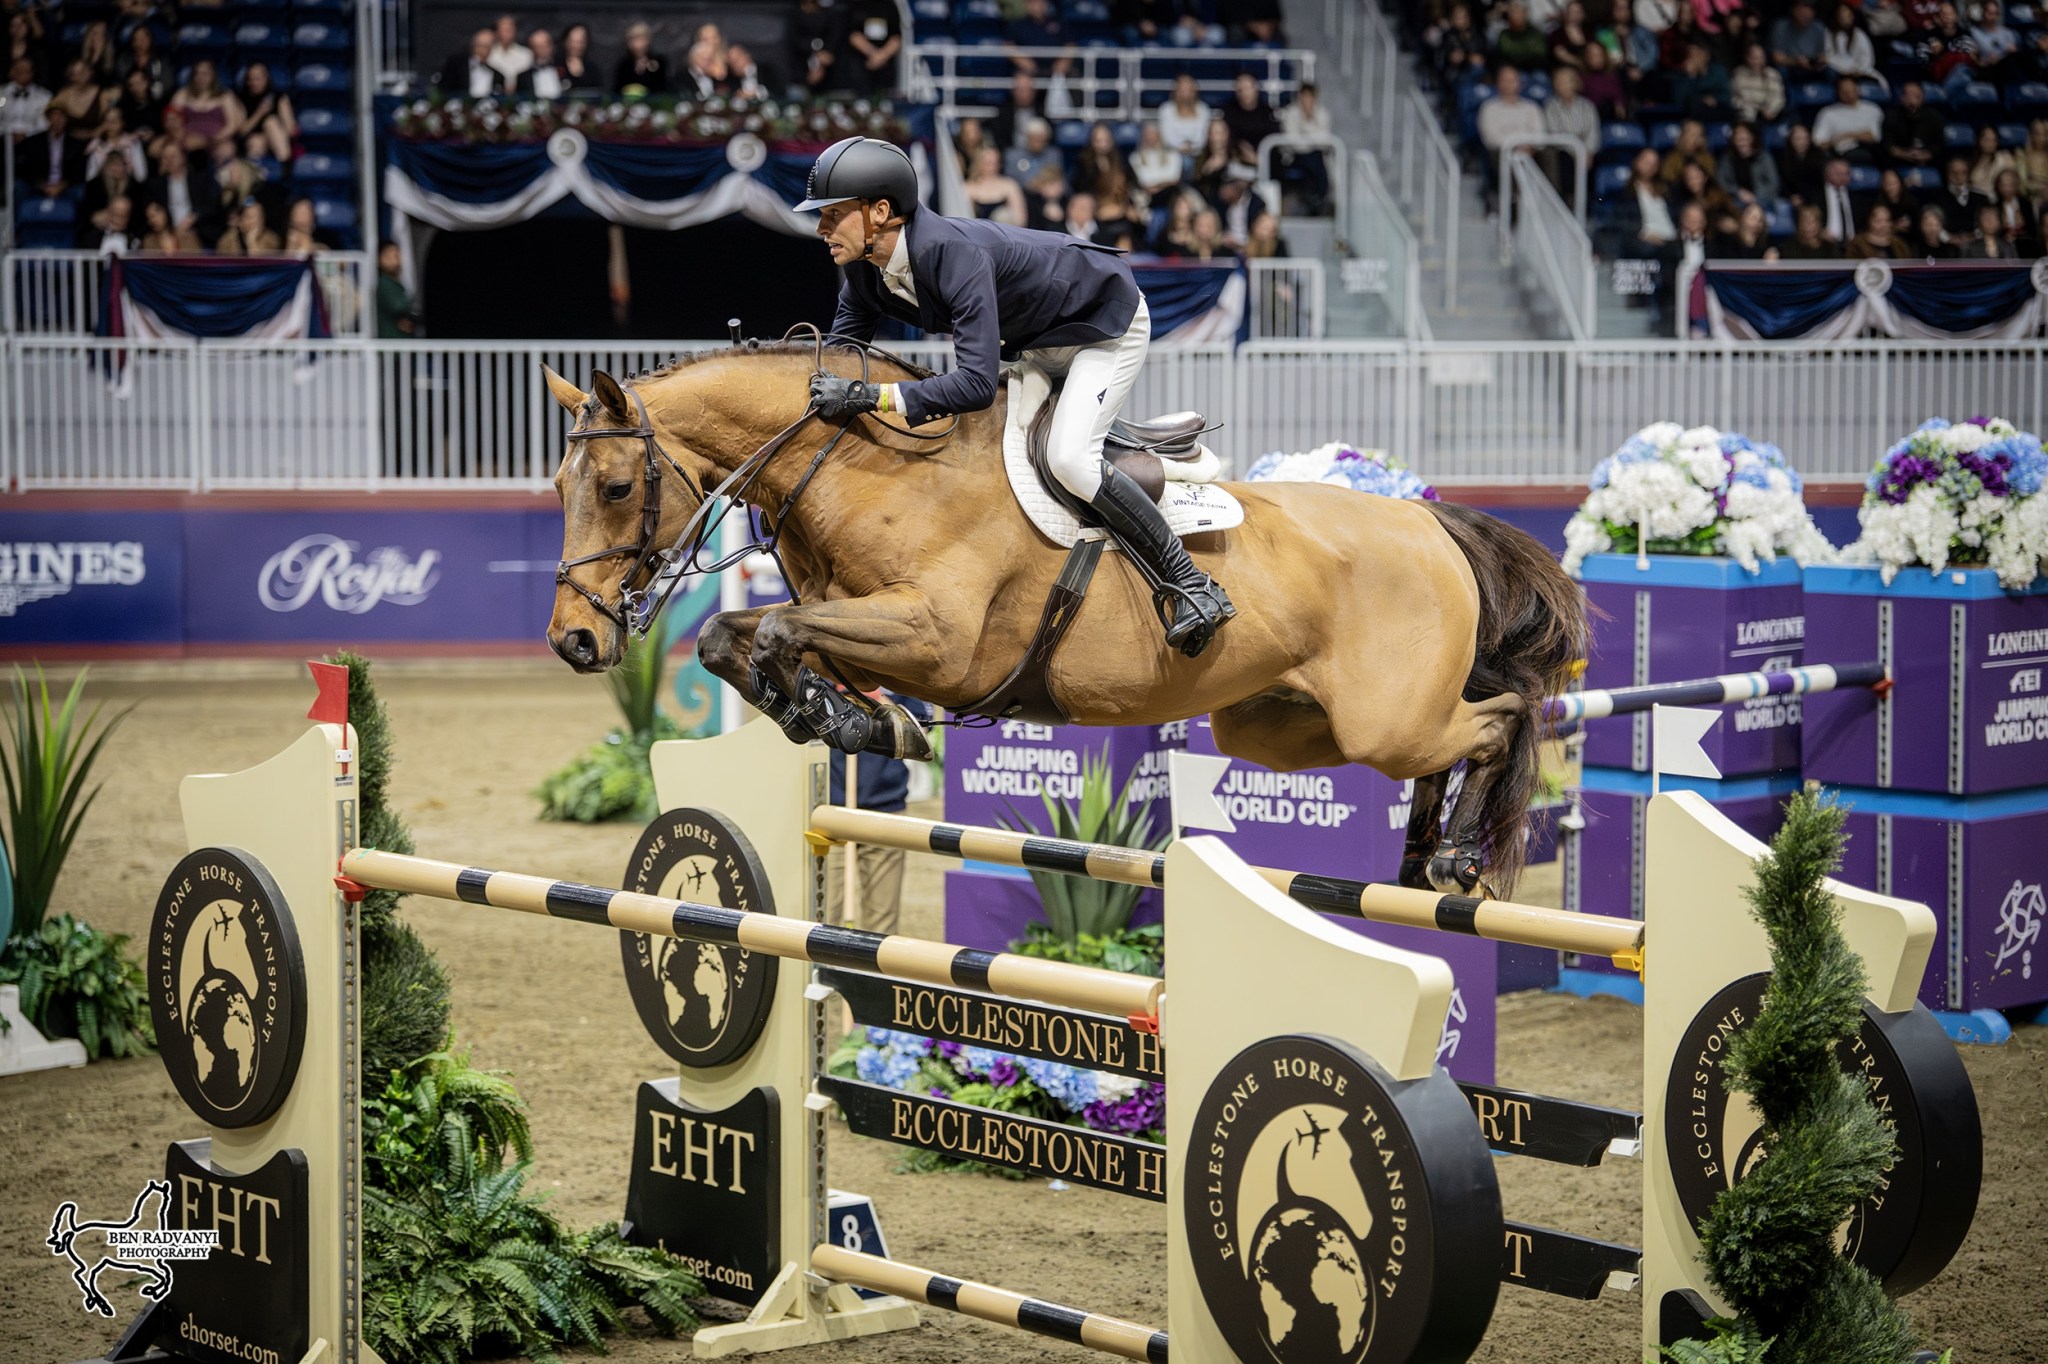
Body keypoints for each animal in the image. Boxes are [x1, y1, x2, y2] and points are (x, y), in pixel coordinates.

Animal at [541, 344, 1585, 896]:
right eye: (557, 485)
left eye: (619, 486)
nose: (574, 641)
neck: (868, 470)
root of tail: (1429, 519)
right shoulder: (860, 622)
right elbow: (743, 638)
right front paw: (849, 719)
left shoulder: (935, 639)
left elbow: (783, 634)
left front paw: (847, 717)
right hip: (1283, 725)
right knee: (1462, 724)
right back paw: (1415, 858)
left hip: (1384, 718)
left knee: (1499, 719)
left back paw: (1458, 855)